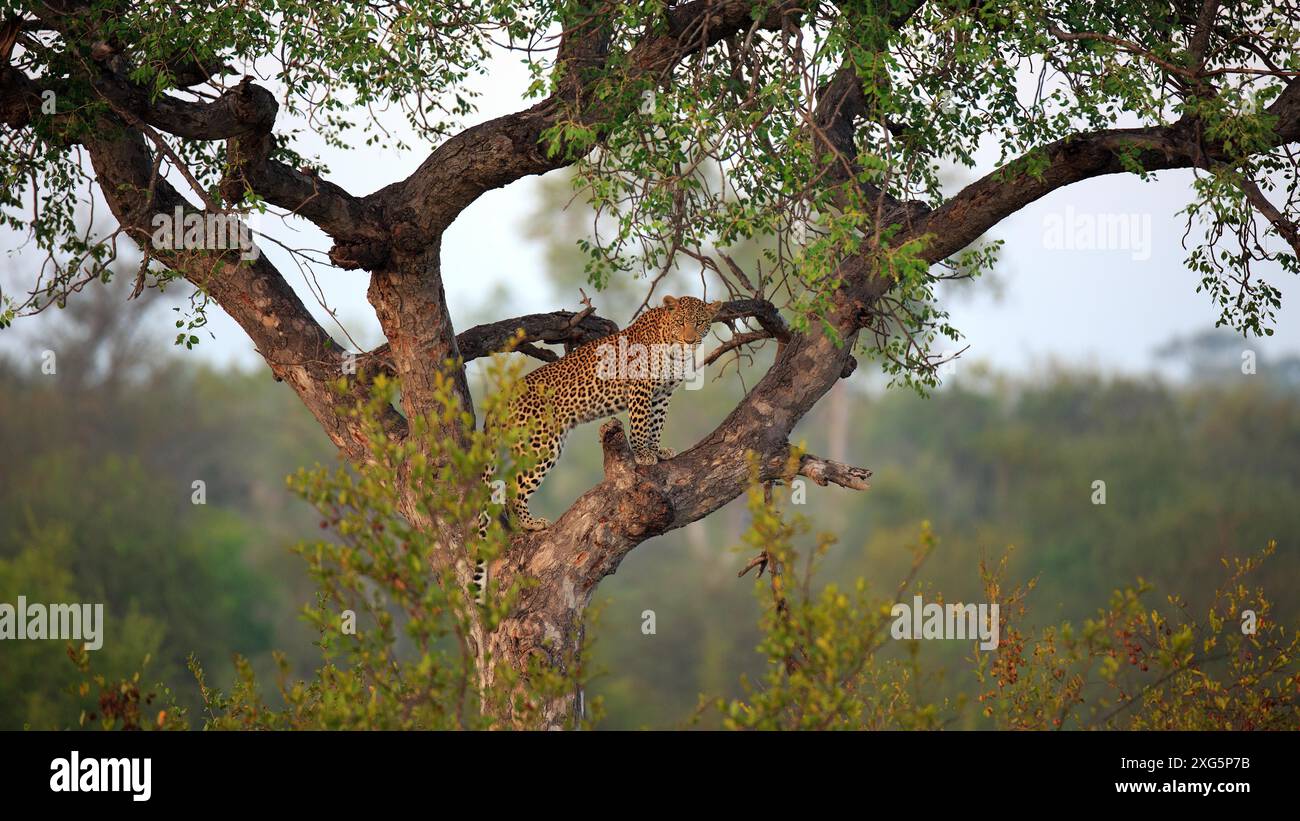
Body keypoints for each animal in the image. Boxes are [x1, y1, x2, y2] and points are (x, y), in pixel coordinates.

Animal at [472, 295, 722, 598]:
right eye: (680, 322)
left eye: (699, 322)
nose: (689, 340)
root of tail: (504, 395)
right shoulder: (641, 388)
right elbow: (641, 423)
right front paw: (643, 454)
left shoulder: (662, 394)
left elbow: (657, 423)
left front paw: (657, 451)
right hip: (543, 443)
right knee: (513, 487)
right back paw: (529, 525)